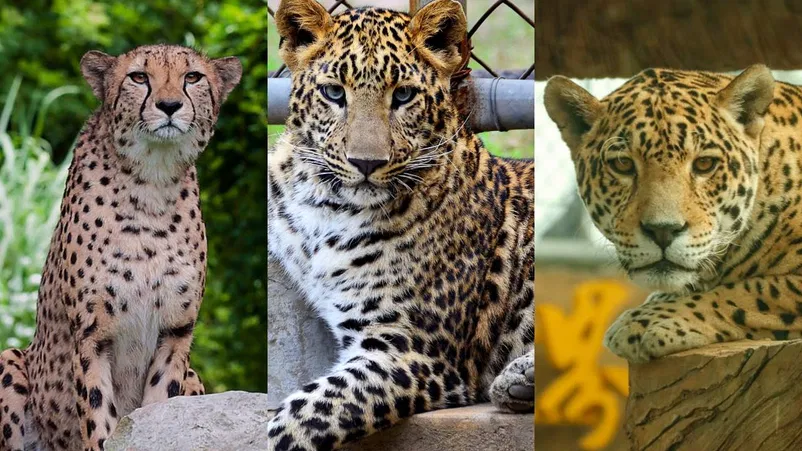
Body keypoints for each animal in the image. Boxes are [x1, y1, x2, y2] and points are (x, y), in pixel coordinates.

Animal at [0, 44, 241, 451]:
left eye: (192, 77)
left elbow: (160, 405)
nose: (170, 105)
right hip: (9, 359)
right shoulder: (92, 335)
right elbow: (98, 415)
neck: (152, 184)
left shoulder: (175, 333)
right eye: (138, 77)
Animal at [267, 0, 534, 449]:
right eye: (334, 93)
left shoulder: (411, 351)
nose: (366, 164)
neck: (326, 208)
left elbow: (297, 419)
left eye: (403, 95)